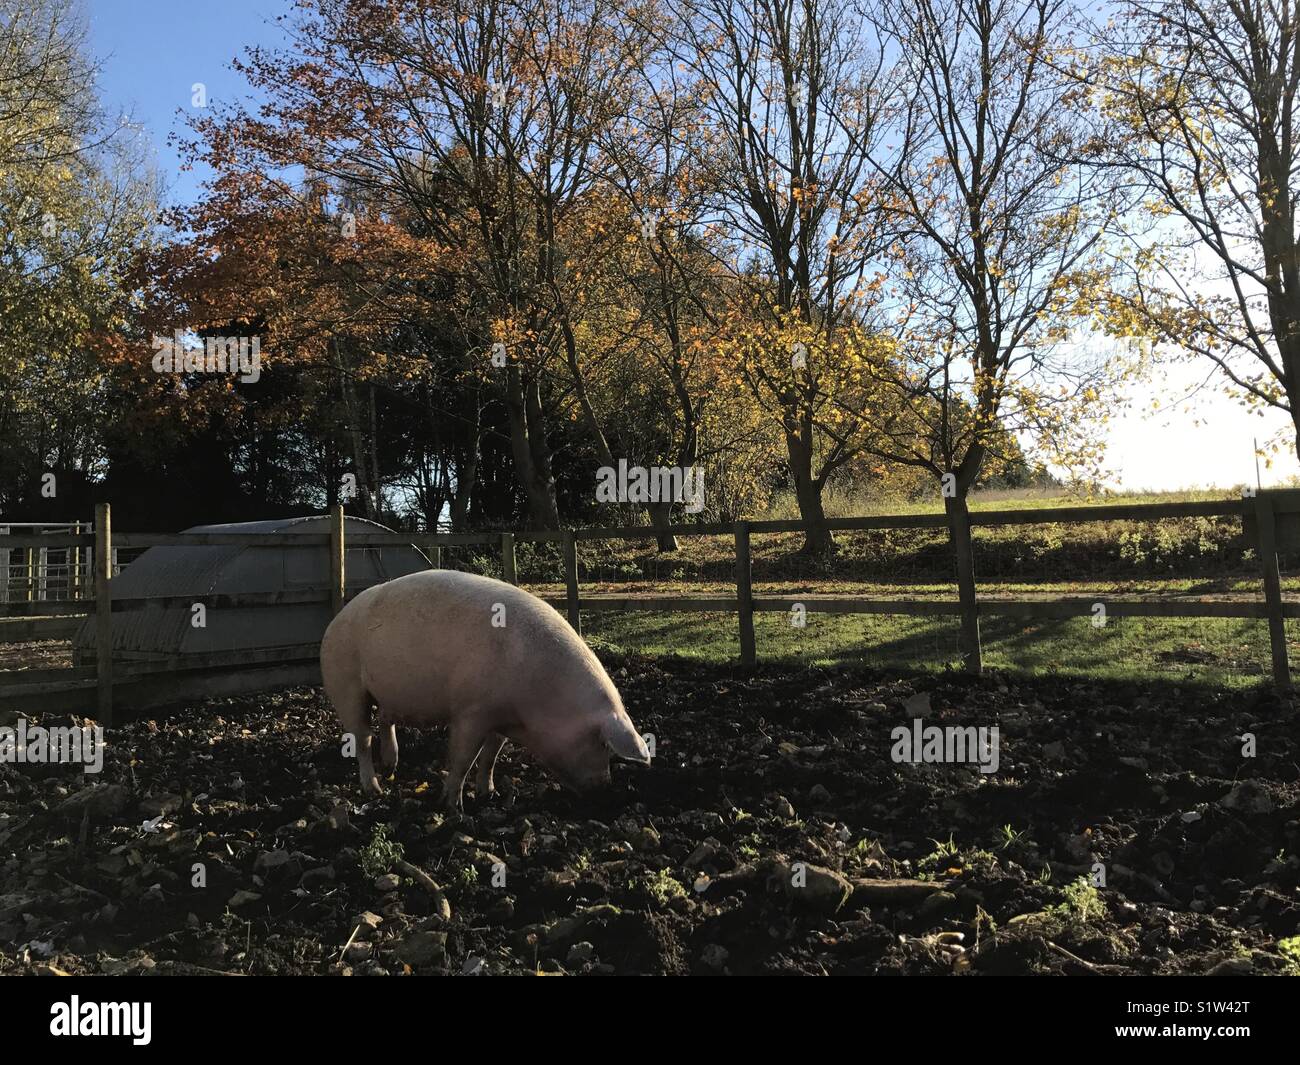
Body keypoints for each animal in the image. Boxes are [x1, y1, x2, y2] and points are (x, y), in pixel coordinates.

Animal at [320, 569, 650, 809]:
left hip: (385, 693)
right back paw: (374, 790)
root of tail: (333, 622)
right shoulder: (472, 712)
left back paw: (391, 766)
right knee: (362, 740)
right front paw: (453, 807)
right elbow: (463, 758)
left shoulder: (500, 719)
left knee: (385, 720)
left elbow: (491, 756)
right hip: (346, 685)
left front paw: (488, 794)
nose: (605, 790)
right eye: (603, 745)